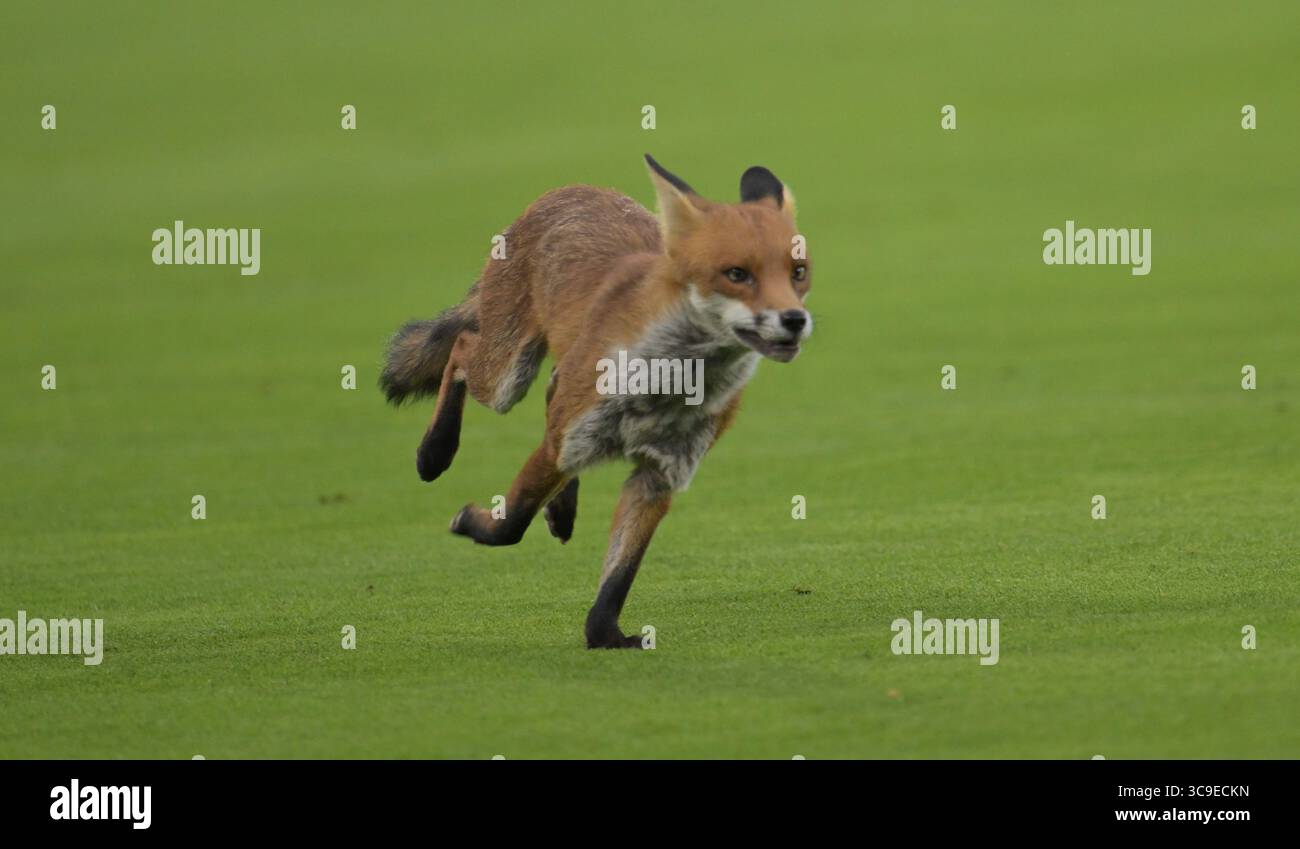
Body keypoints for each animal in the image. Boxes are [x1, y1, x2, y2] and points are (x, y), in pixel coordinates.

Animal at [380, 154, 812, 648]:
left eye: (799, 272)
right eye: (737, 274)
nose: (795, 320)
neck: (666, 384)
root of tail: (573, 188)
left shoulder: (660, 473)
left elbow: (621, 572)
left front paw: (605, 634)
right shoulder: (564, 440)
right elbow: (511, 524)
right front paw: (472, 522)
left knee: (548, 388)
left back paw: (560, 508)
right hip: (506, 376)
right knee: (463, 348)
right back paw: (435, 451)